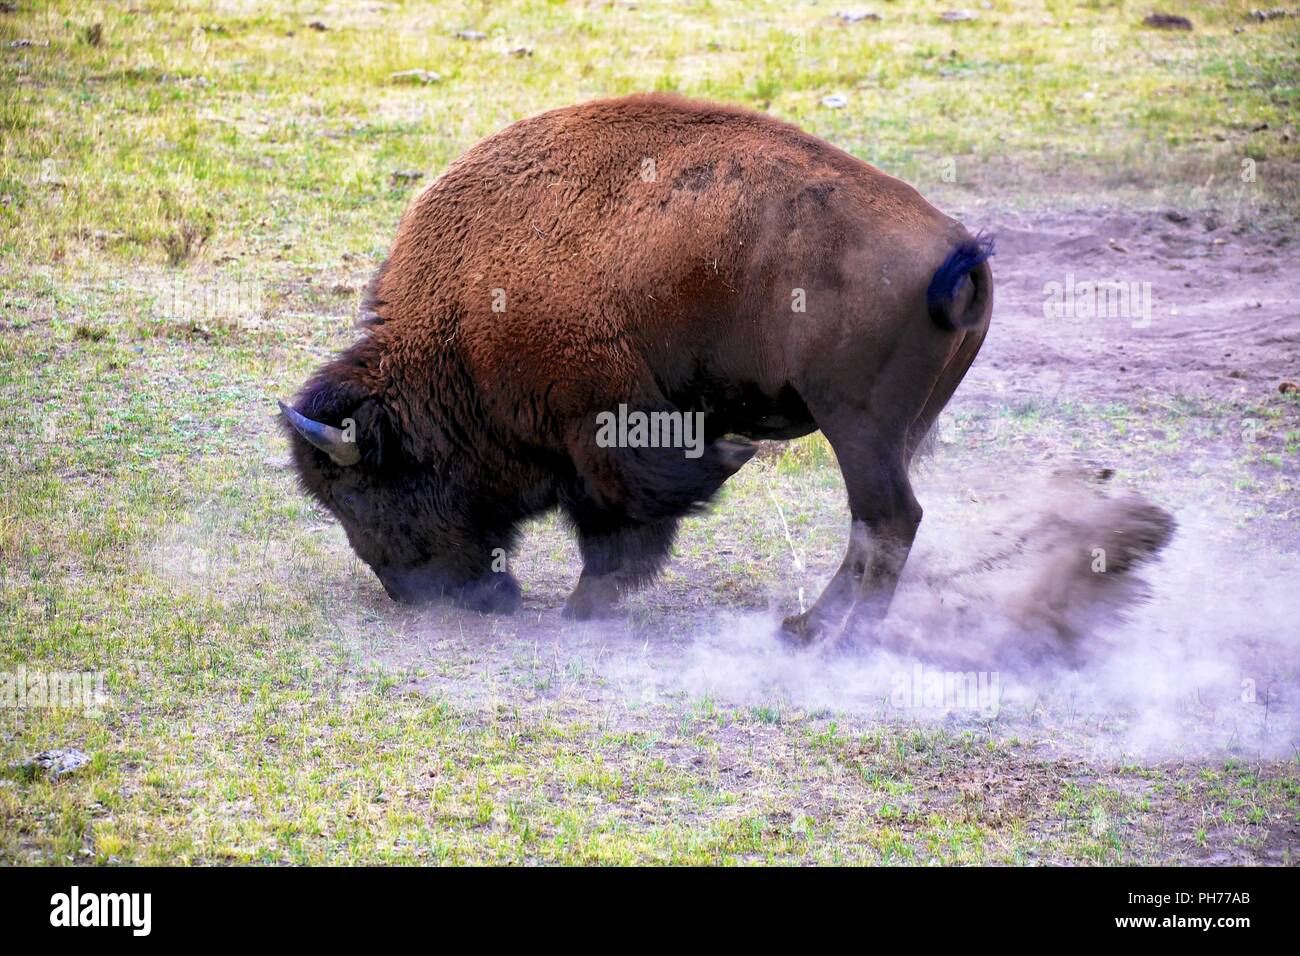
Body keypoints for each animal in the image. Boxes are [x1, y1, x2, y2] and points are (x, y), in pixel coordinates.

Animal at [282, 93, 993, 644]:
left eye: (356, 494)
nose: (410, 592)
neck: (459, 317)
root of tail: (955, 244)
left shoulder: (601, 423)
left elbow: (623, 512)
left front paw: (583, 605)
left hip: (858, 425)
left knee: (889, 521)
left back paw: (845, 645)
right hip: (893, 432)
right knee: (870, 527)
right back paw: (804, 629)